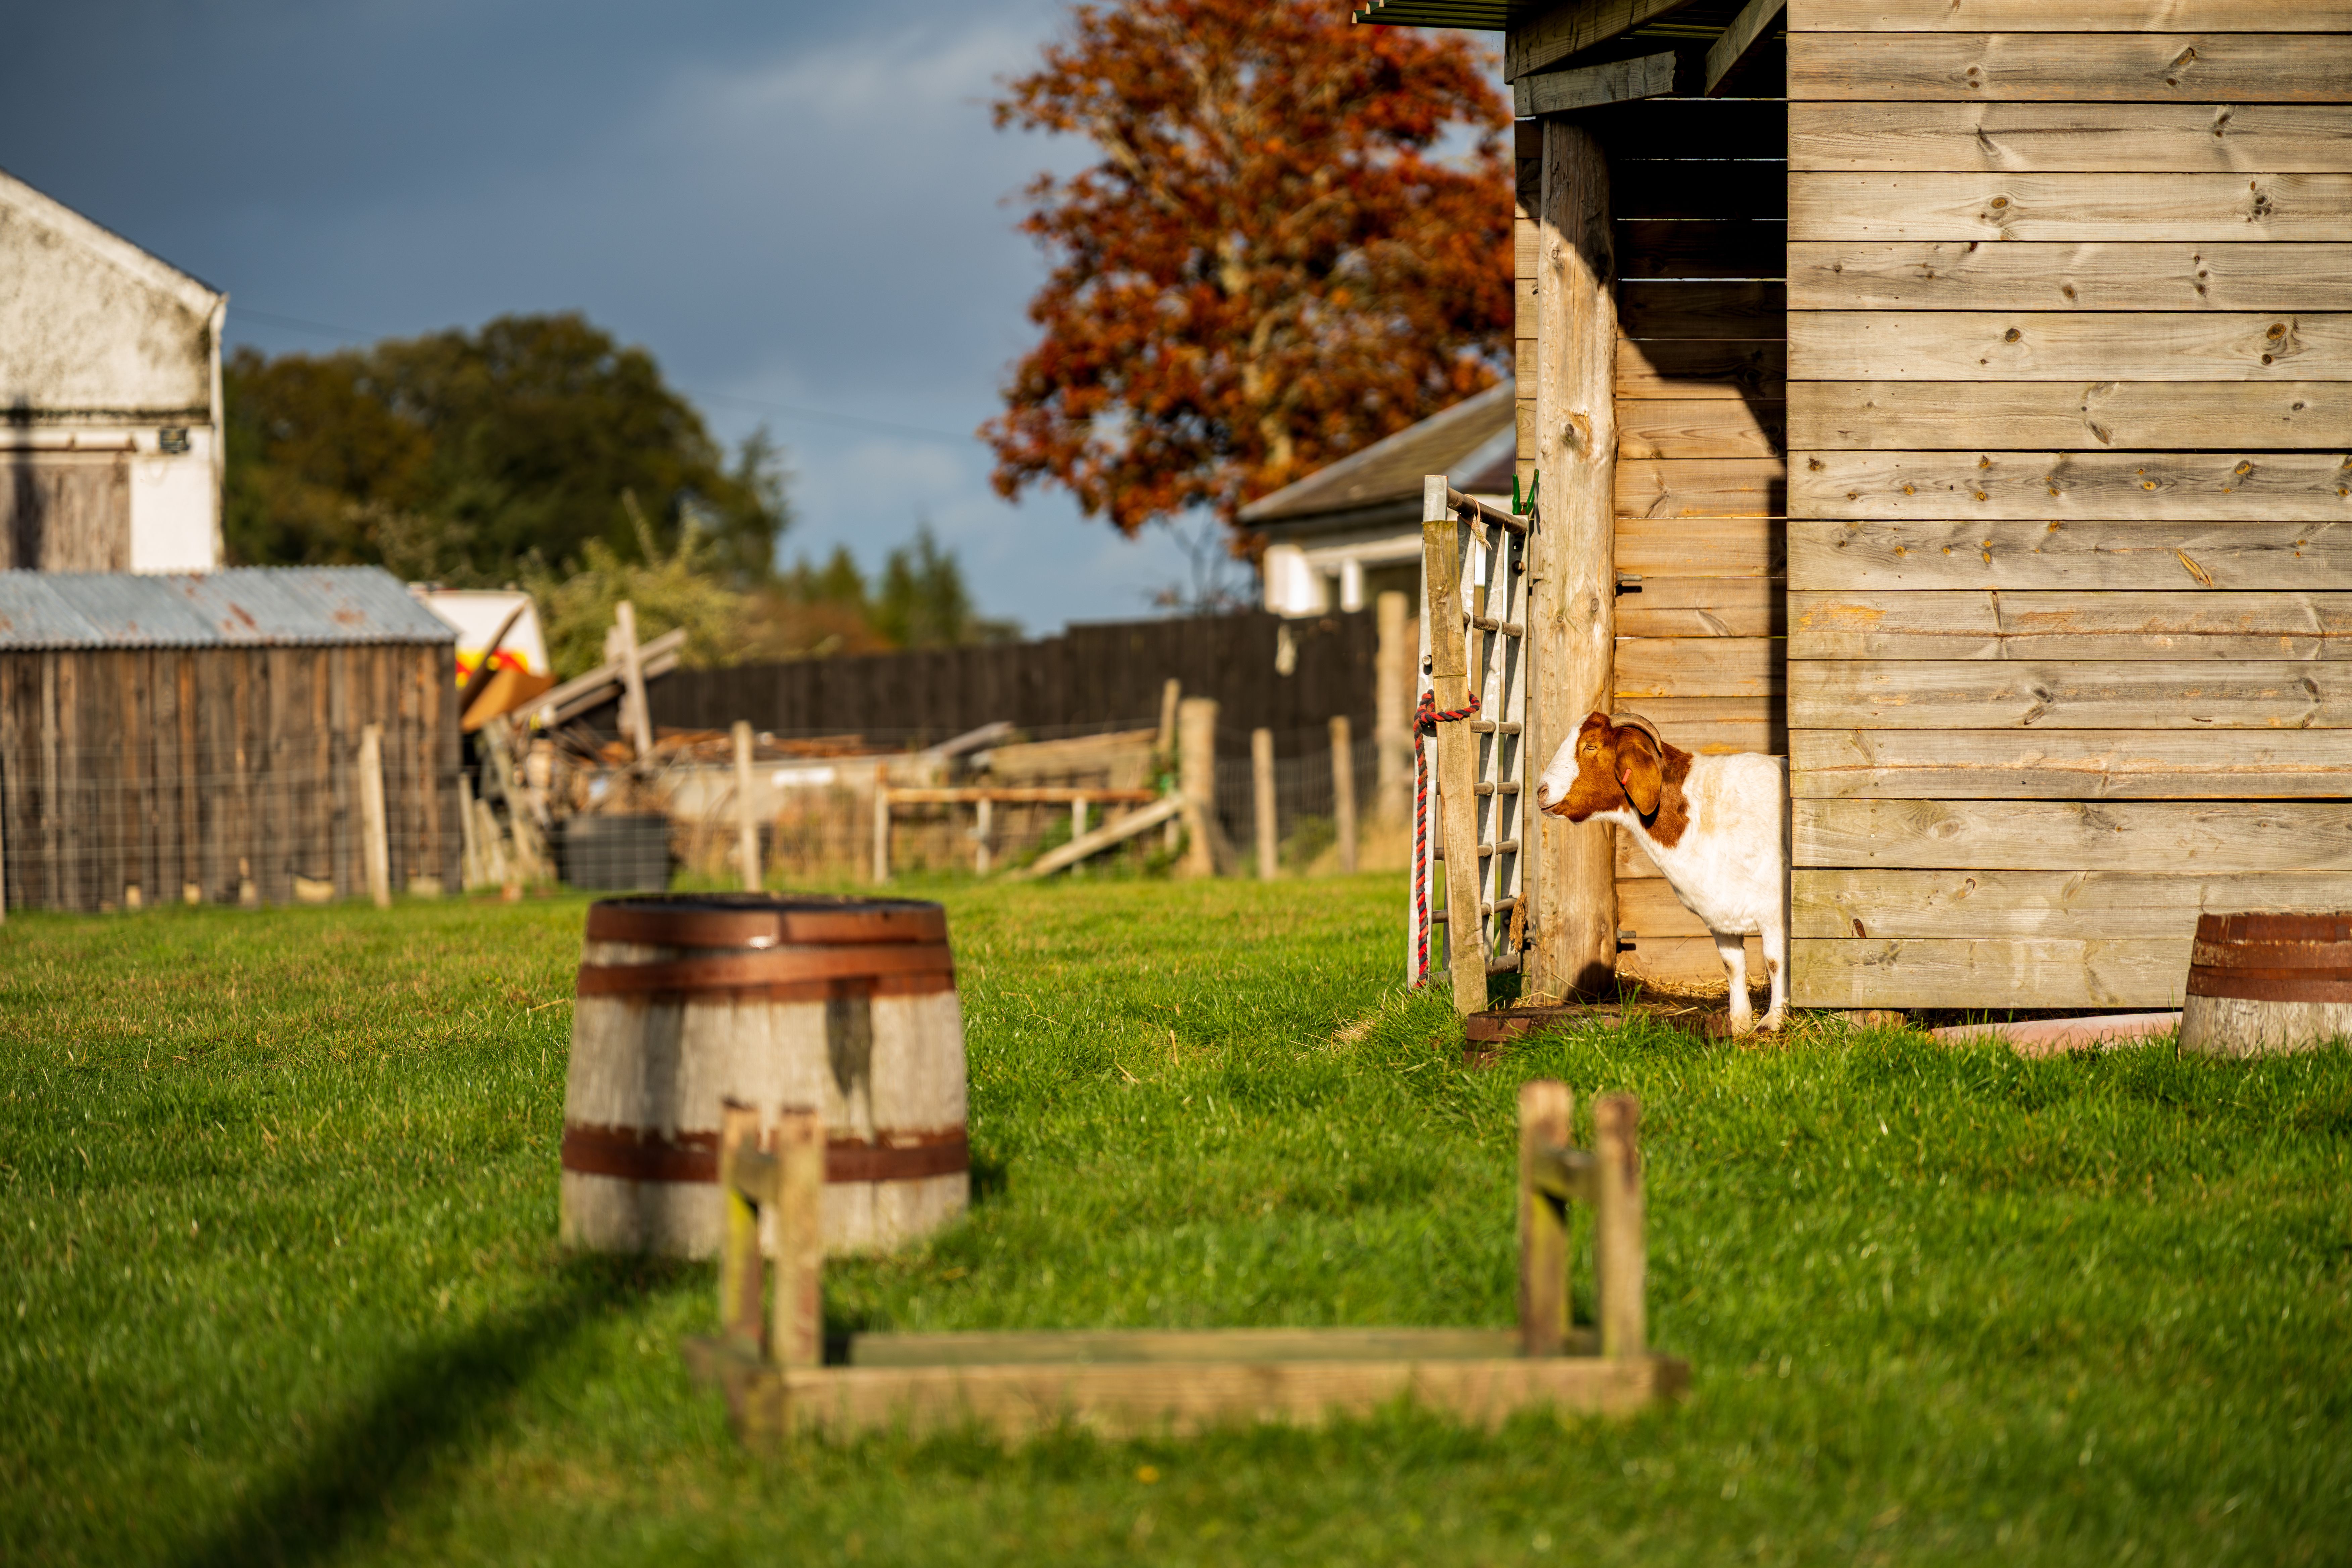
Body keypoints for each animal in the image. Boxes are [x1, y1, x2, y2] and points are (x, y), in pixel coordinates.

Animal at [1534, 711, 1787, 1034]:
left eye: (1591, 746)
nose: (1541, 793)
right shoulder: (1720, 913)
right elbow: (1732, 966)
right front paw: (1739, 1023)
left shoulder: (1775, 910)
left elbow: (1775, 961)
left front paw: (1773, 1020)